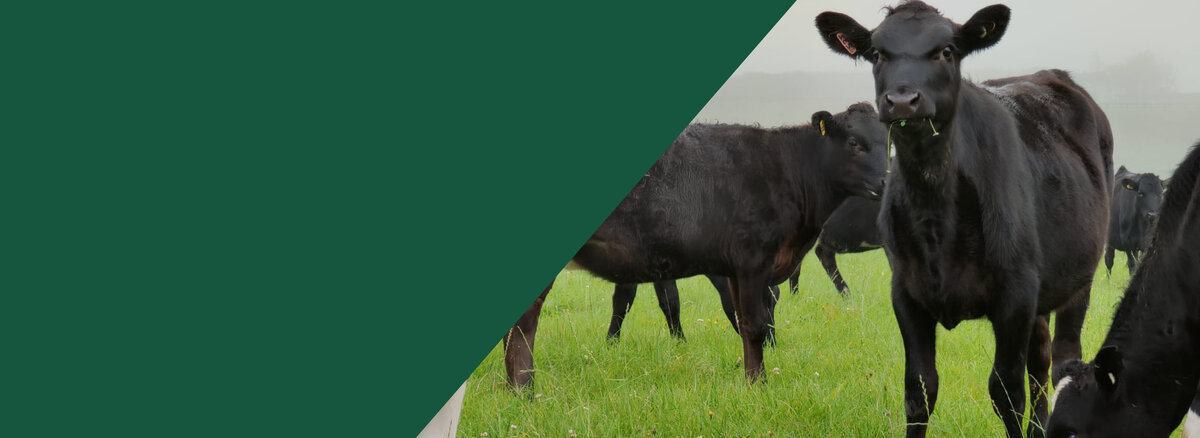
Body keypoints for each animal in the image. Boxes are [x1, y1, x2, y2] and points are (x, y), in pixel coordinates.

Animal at [503, 103, 889, 389]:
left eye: (888, 141)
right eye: (854, 143)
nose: (888, 182)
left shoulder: (734, 269)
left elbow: (743, 322)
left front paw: (751, 378)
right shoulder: (753, 260)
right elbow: (754, 324)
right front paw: (759, 385)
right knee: (524, 323)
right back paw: (524, 390)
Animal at [816, 3, 1113, 437]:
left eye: (947, 50)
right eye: (877, 53)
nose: (902, 100)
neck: (937, 216)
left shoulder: (1015, 295)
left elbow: (1006, 390)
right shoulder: (906, 291)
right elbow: (919, 389)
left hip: (1077, 281)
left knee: (1062, 357)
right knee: (1040, 361)